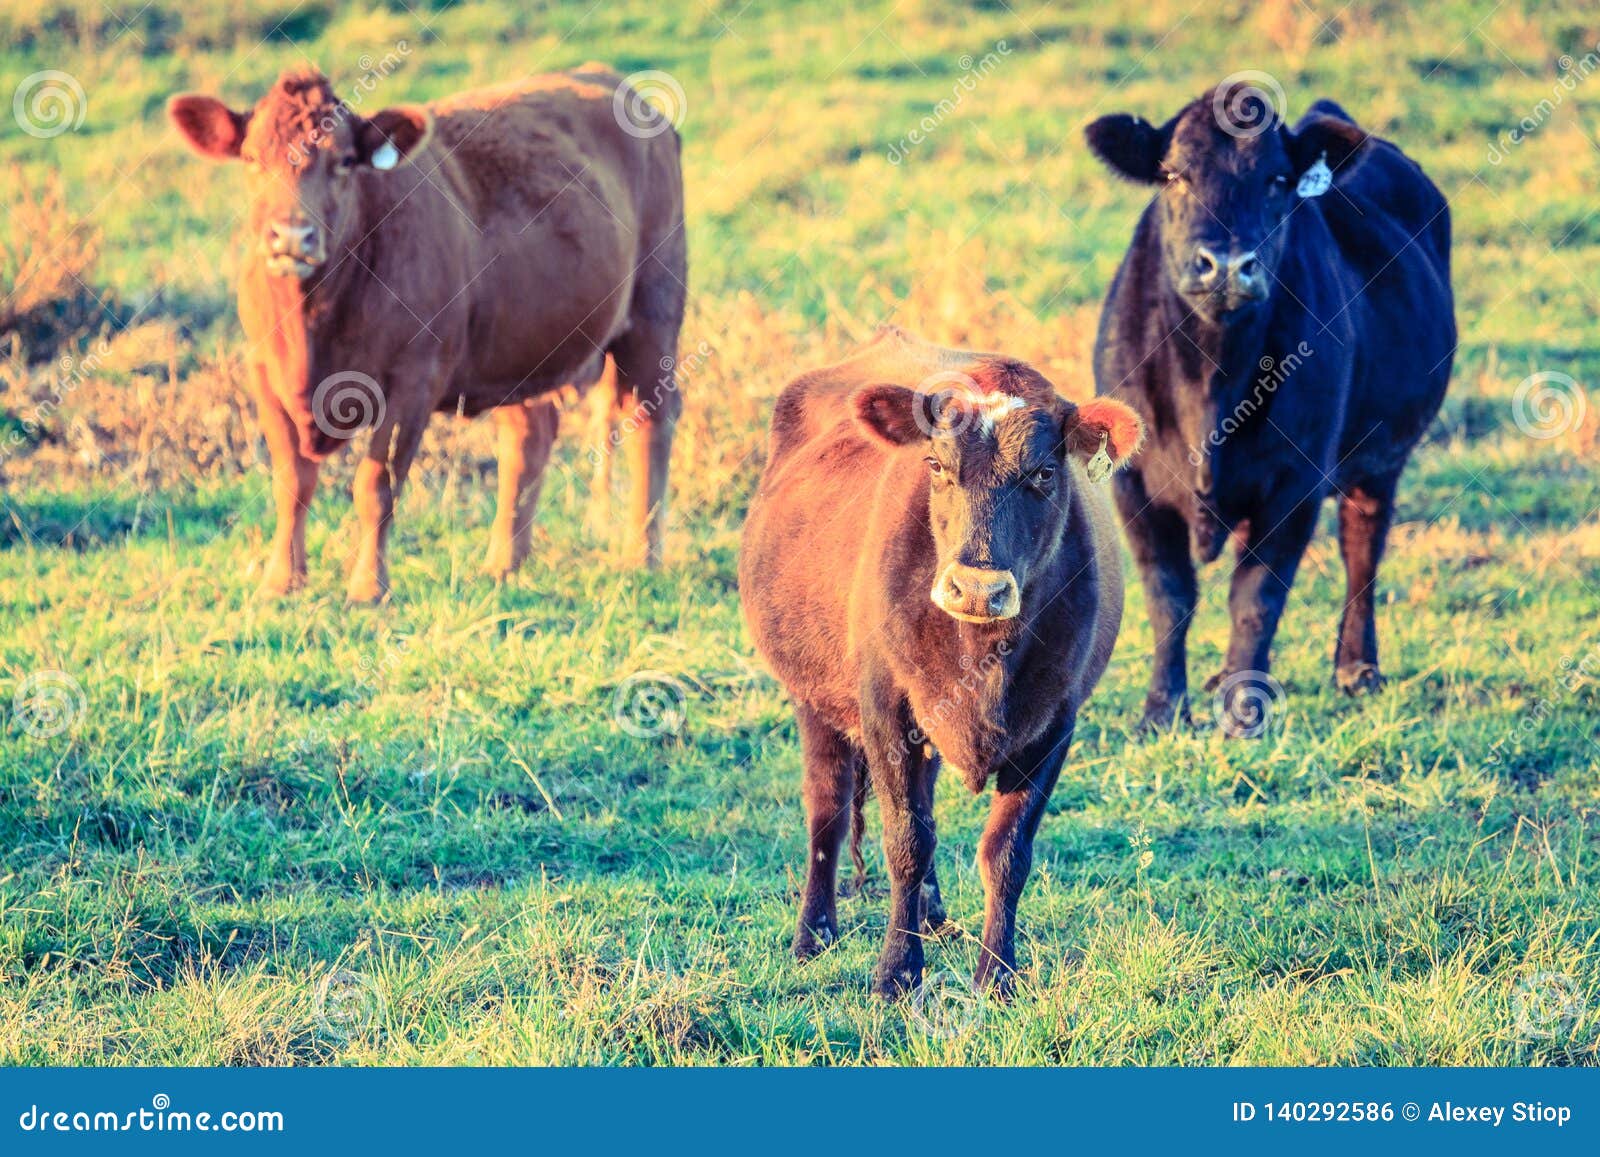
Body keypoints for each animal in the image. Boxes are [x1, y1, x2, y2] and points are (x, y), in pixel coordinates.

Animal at [168, 65, 686, 601]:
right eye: (252, 158)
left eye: (345, 161)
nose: (292, 236)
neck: (313, 326)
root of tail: (608, 79)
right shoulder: (265, 375)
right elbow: (292, 481)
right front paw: (281, 581)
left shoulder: (414, 379)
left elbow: (376, 486)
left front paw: (368, 589)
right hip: (522, 343)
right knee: (528, 436)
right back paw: (503, 563)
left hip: (654, 308)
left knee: (651, 419)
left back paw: (640, 557)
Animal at [739, 326, 1143, 996]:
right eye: (936, 465)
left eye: (1044, 472)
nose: (977, 589)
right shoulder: (885, 711)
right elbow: (907, 840)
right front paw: (896, 972)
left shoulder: (1054, 724)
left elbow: (1006, 853)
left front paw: (997, 974)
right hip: (812, 698)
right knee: (827, 809)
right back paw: (813, 934)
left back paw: (931, 917)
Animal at [1084, 83, 1454, 735]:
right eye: (1174, 175)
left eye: (1279, 181)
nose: (1228, 266)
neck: (1211, 384)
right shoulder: (1132, 484)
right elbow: (1168, 595)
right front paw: (1163, 710)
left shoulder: (1295, 483)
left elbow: (1256, 597)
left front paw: (1243, 712)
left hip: (1380, 462)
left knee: (1362, 546)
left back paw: (1356, 667)